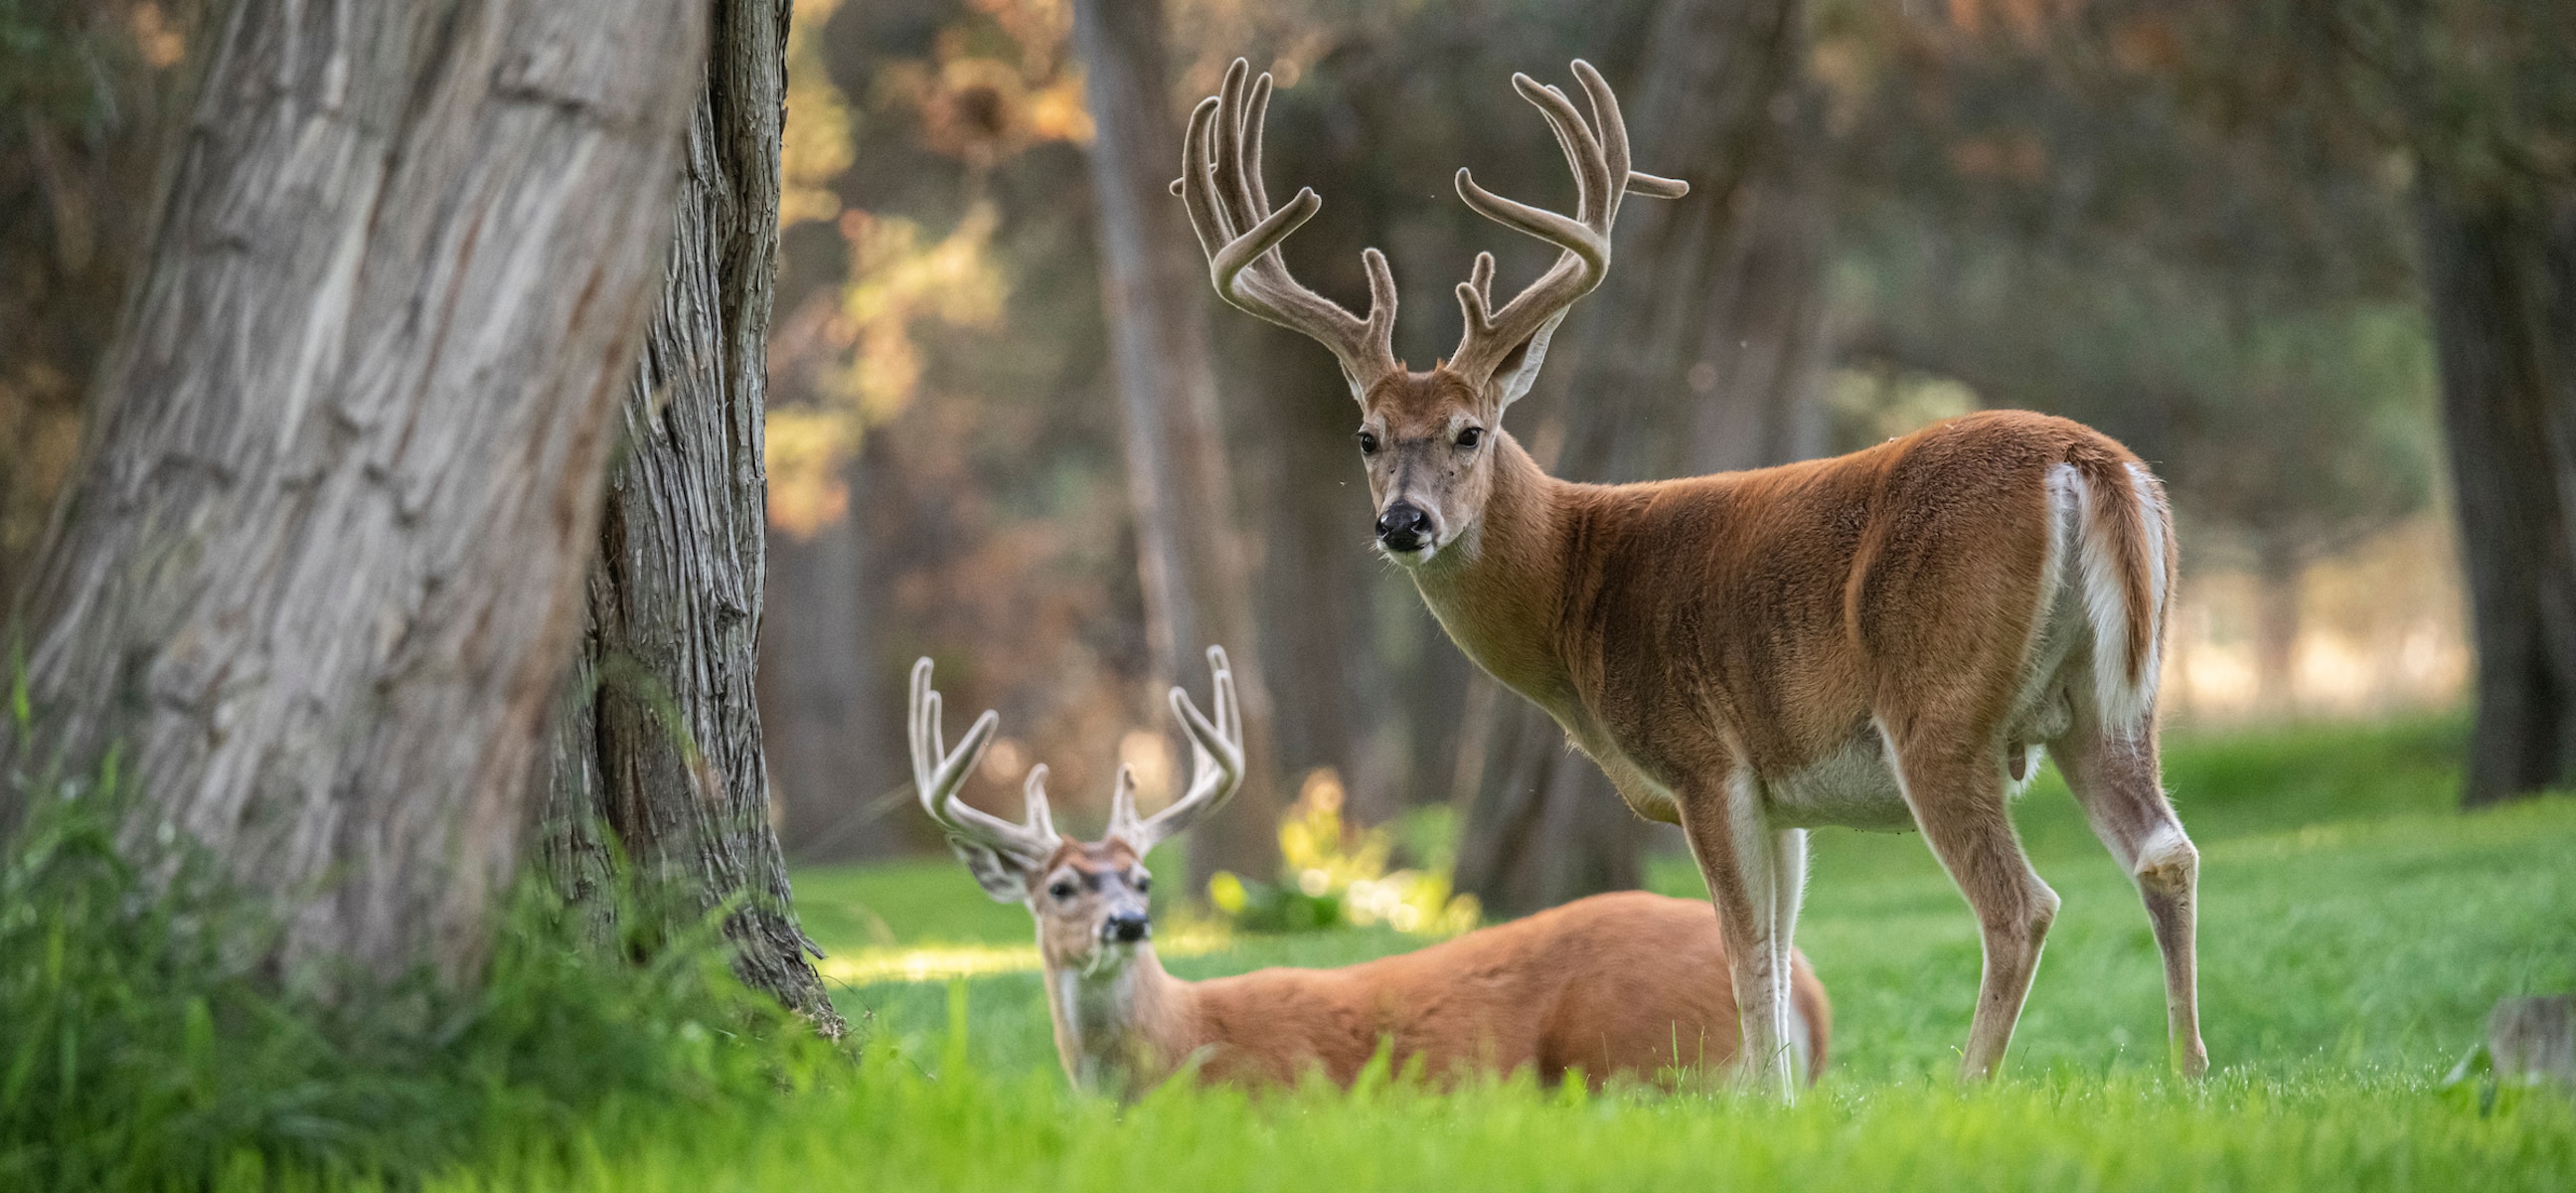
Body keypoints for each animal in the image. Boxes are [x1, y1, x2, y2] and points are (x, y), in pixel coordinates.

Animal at [908, 649, 1830, 1098]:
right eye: (1060, 887)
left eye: (1141, 882)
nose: (1129, 925)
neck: (1169, 1053)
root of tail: (1813, 991)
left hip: (1632, 1056)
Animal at [1172, 57, 2205, 1097]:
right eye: (1366, 437)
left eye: (1472, 431)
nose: (1403, 524)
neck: (1570, 587)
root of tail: (2087, 461)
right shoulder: (1783, 794)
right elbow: (1779, 954)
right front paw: (1783, 1104)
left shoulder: (1705, 756)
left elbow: (1745, 955)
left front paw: (1763, 1105)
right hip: (2108, 700)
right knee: (2167, 854)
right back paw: (2189, 1073)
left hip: (1940, 704)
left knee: (2020, 905)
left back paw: (1967, 1088)